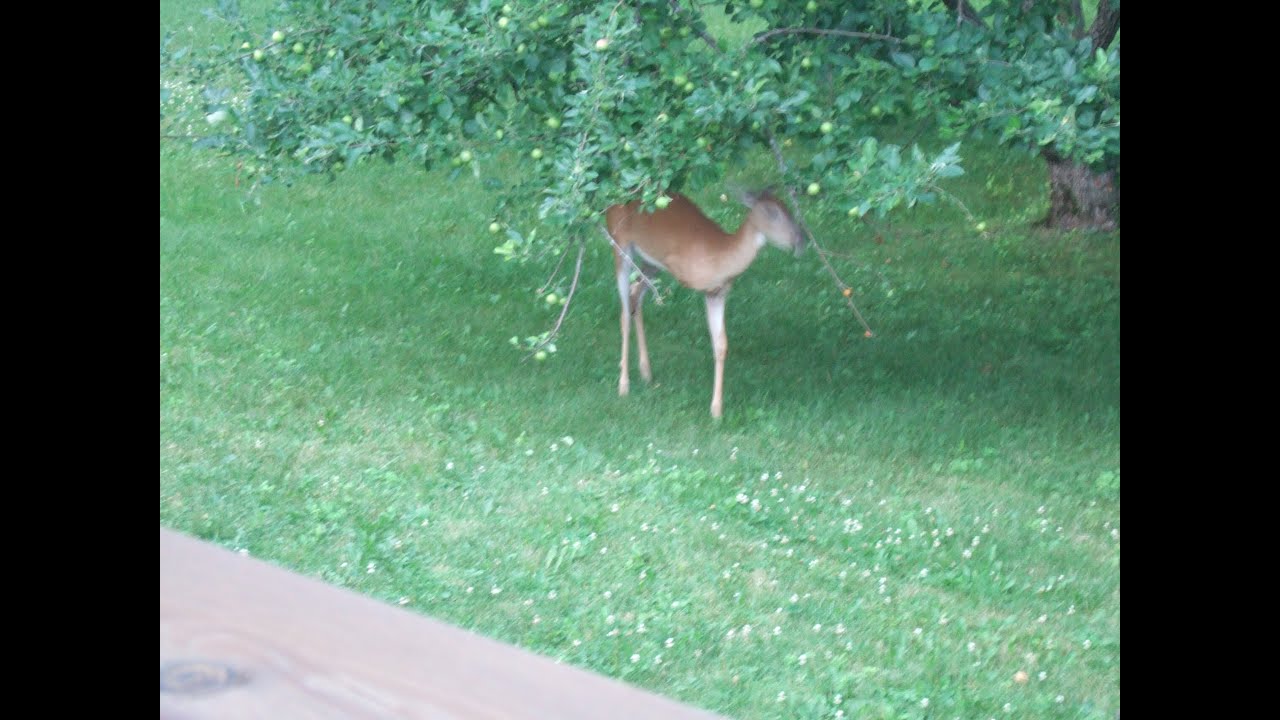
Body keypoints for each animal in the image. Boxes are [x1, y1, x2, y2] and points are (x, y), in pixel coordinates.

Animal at [604, 190, 805, 418]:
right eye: (772, 212)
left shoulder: (717, 293)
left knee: (634, 294)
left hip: (652, 263)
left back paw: (646, 372)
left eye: (788, 207)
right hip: (620, 242)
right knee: (624, 312)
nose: (801, 239)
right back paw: (624, 385)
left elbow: (721, 344)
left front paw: (716, 410)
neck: (721, 256)